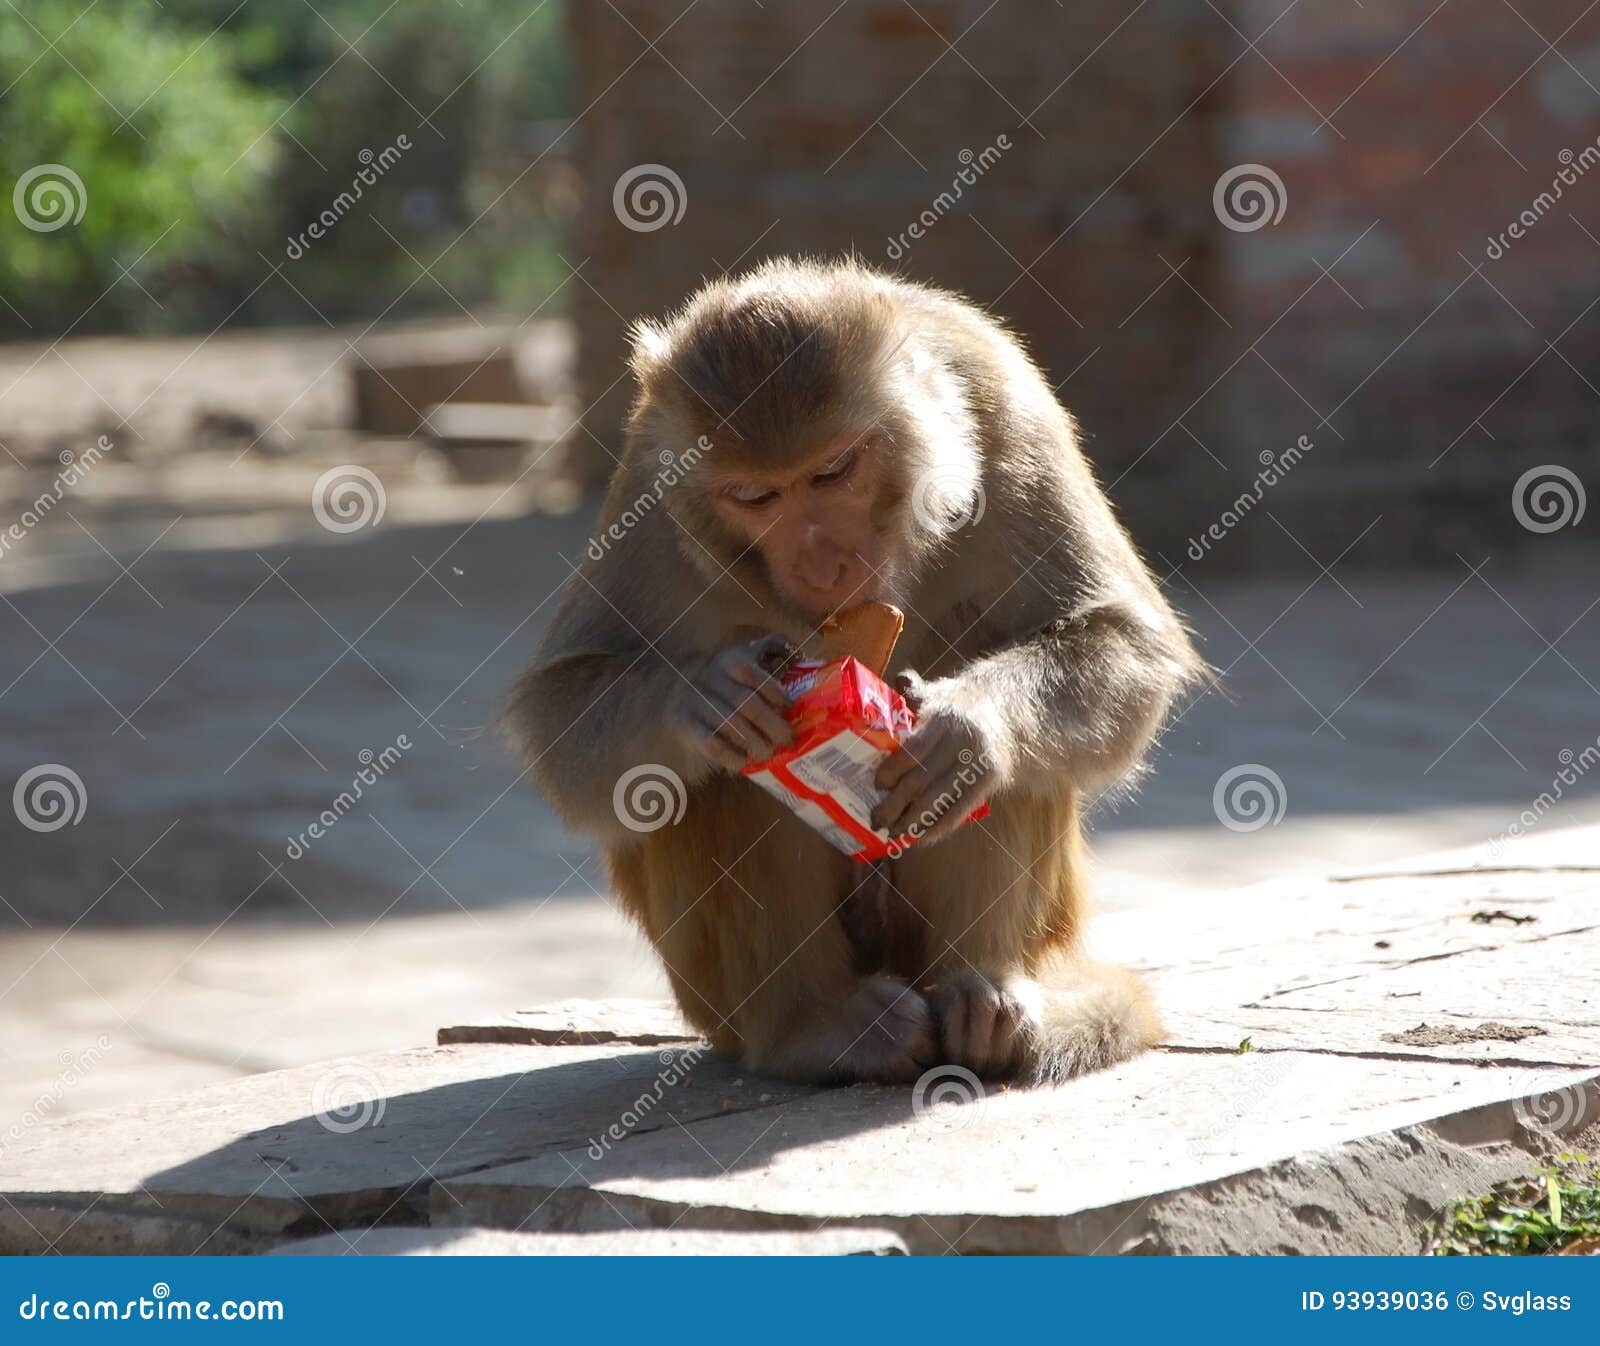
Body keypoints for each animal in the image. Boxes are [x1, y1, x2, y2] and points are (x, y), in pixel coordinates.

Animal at [506, 257, 1201, 1086]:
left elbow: (1117, 636)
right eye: (756, 495)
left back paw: (983, 1001)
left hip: (1038, 929)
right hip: (713, 1002)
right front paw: (703, 700)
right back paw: (816, 1026)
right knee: (716, 774)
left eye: (833, 471)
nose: (820, 560)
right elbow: (562, 714)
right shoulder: (650, 477)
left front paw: (968, 735)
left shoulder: (1004, 400)